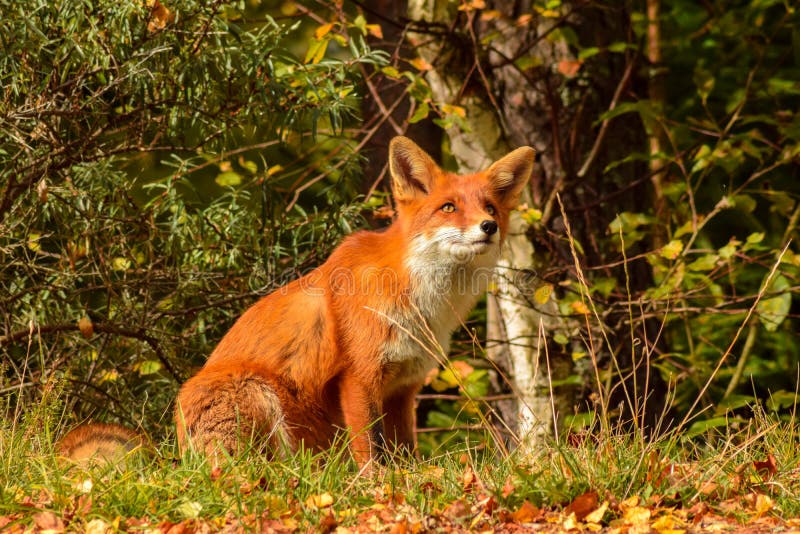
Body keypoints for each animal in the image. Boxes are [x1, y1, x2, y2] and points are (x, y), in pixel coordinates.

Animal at [173, 136, 534, 466]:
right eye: (449, 207)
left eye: (490, 208)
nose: (488, 226)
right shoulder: (359, 377)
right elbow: (369, 449)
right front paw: (376, 486)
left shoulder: (404, 387)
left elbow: (406, 452)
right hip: (257, 393)